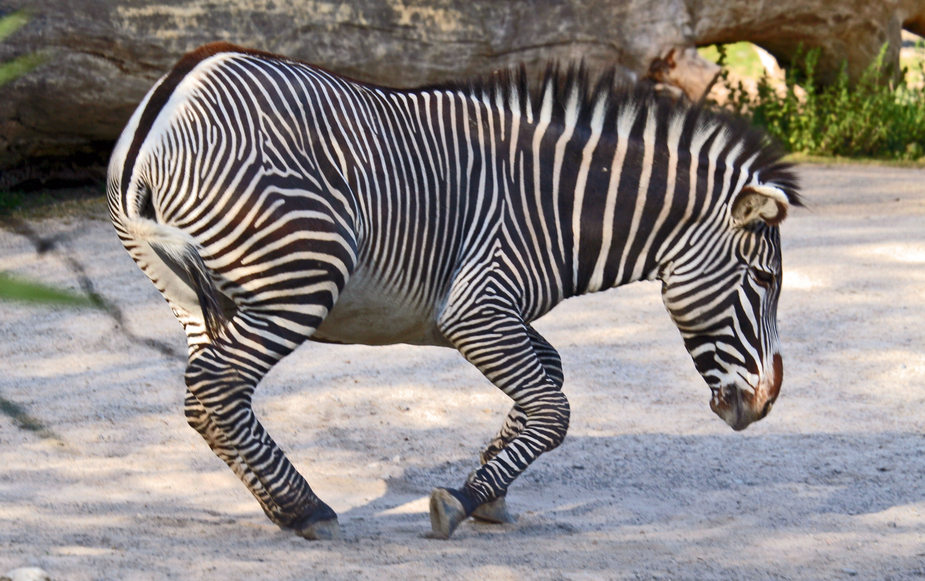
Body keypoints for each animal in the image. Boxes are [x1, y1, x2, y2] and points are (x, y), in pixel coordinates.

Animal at [108, 42, 800, 540]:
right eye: (764, 281)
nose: (766, 404)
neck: (555, 204)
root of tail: (168, 101)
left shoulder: (481, 316)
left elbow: (547, 383)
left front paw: (491, 489)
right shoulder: (477, 308)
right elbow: (554, 409)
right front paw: (462, 501)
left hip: (196, 299)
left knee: (210, 401)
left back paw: (284, 506)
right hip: (299, 278)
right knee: (215, 389)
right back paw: (305, 511)